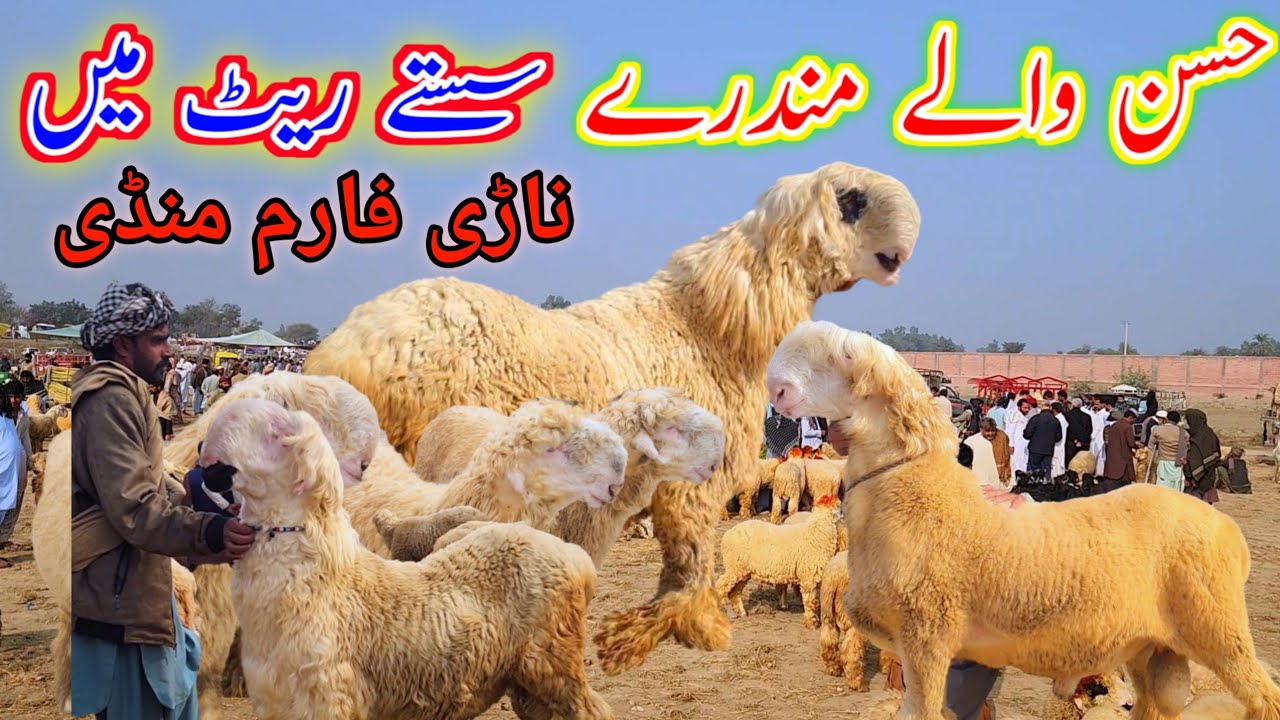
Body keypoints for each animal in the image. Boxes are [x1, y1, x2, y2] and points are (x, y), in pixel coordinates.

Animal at [199, 396, 612, 720]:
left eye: (275, 431)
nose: (205, 445)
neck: (324, 578)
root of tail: (576, 557)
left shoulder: (328, 697)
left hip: (554, 665)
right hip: (530, 683)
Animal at [715, 494, 842, 628]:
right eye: (838, 506)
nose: (843, 515)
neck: (817, 532)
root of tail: (728, 533)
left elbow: (814, 601)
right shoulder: (808, 576)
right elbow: (810, 601)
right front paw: (811, 622)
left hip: (742, 570)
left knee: (735, 592)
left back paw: (741, 612)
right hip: (733, 566)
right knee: (721, 586)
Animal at [764, 318, 1280, 720]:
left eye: (841, 356)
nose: (776, 390)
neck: (912, 490)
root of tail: (1230, 532)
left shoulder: (927, 638)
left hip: (1217, 628)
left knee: (1264, 699)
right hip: (1154, 651)